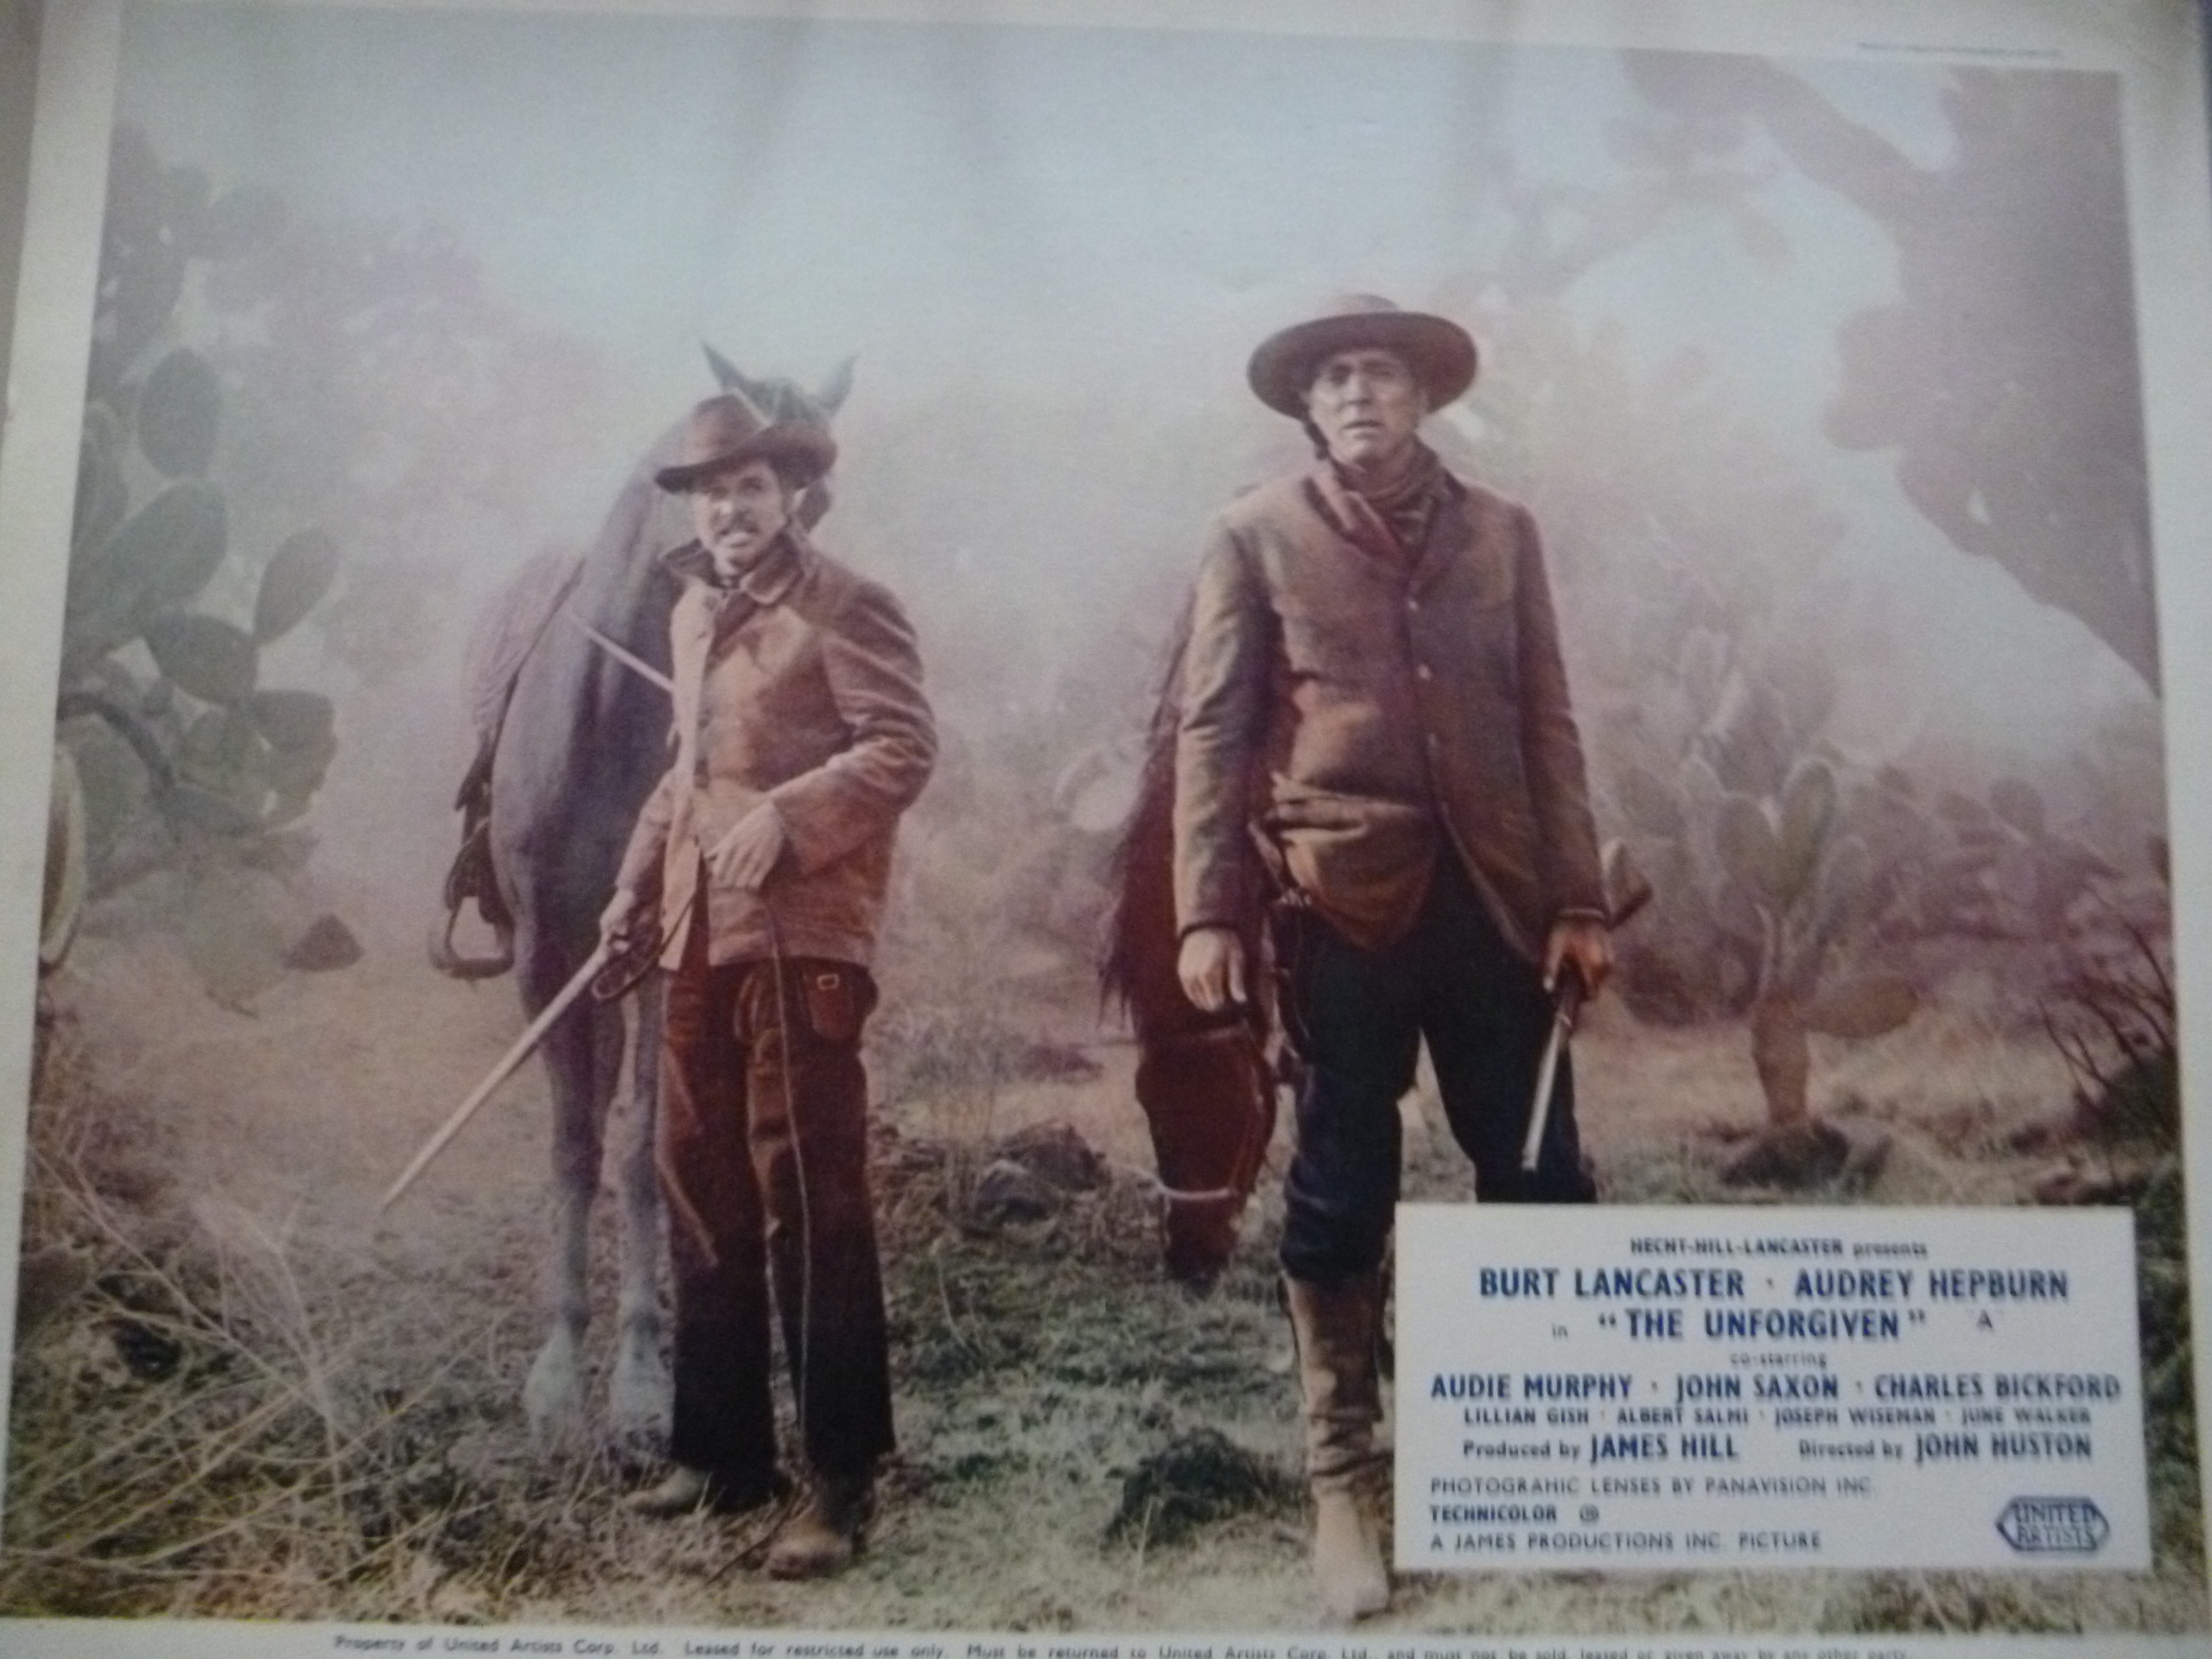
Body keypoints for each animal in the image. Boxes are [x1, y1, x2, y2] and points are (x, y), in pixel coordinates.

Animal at [435, 352, 849, 1442]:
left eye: (820, 498)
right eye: (739, 488)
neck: (605, 720)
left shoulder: (660, 951)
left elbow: (634, 1148)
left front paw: (637, 1373)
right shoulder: (545, 959)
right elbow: (573, 1144)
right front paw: (556, 1371)